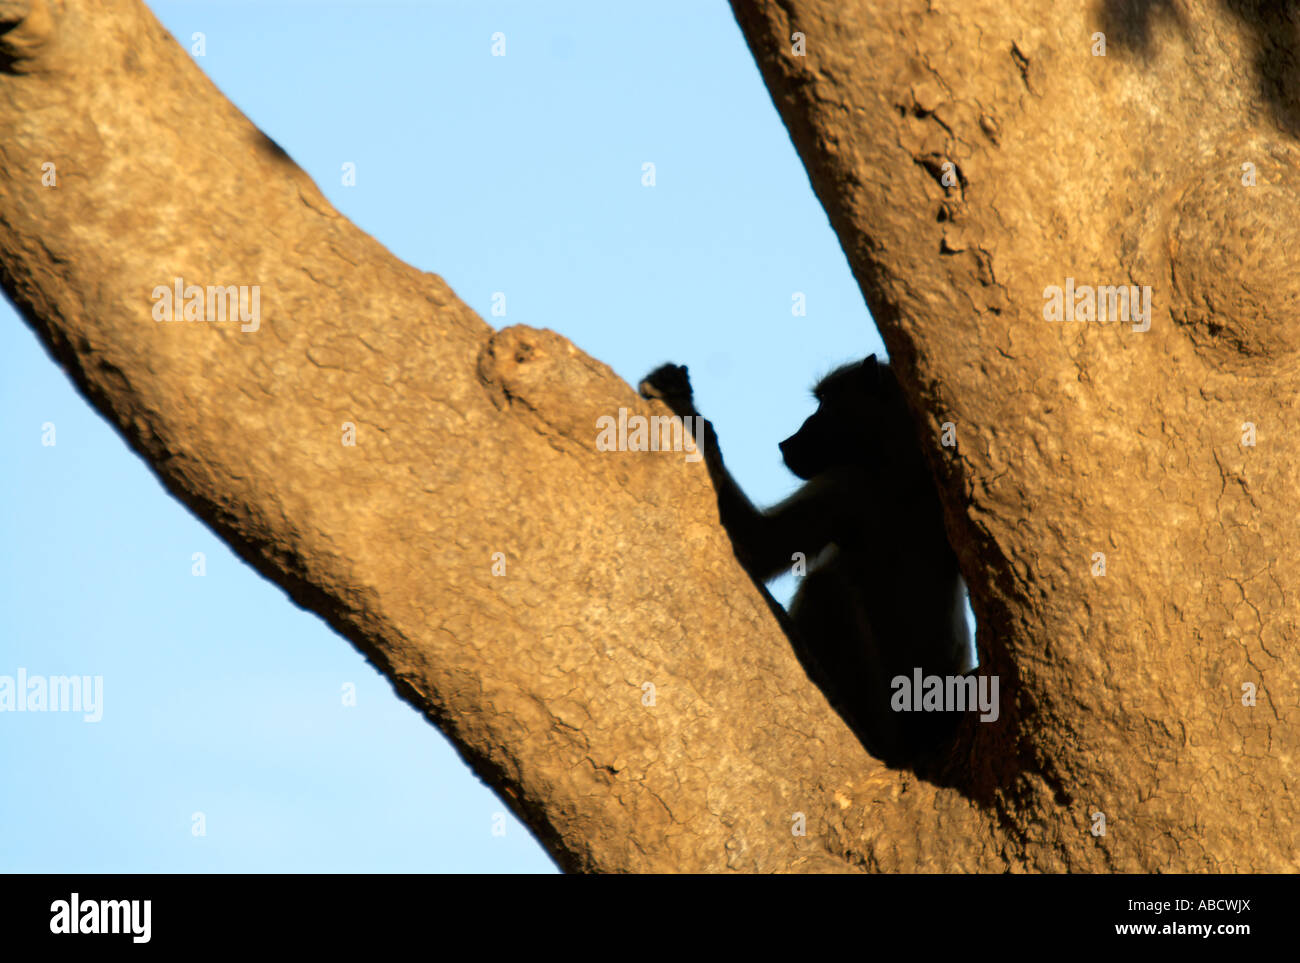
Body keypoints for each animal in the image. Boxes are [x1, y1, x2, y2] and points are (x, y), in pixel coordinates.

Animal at [639, 356, 972, 763]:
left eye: (825, 405)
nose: (789, 440)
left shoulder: (847, 482)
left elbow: (756, 547)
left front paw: (682, 407)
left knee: (824, 585)